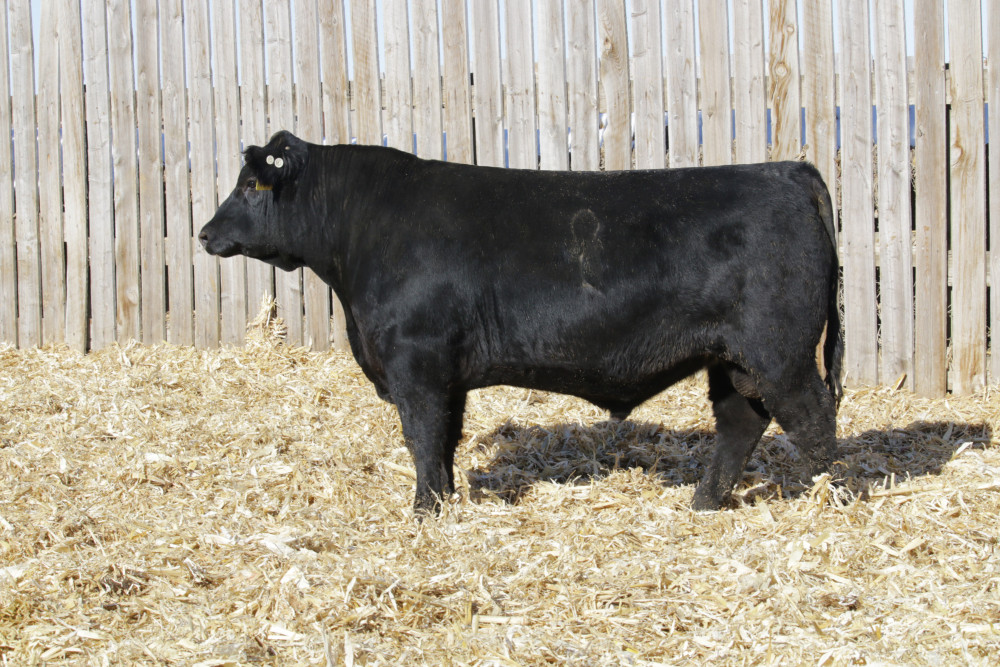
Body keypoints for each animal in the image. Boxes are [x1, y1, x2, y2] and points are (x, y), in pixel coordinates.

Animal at [200, 130, 843, 516]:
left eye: (250, 186)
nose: (205, 233)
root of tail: (787, 170)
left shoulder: (416, 360)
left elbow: (422, 435)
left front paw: (425, 510)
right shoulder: (445, 372)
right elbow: (445, 439)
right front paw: (444, 501)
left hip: (780, 352)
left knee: (813, 417)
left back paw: (825, 498)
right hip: (732, 357)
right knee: (741, 421)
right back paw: (706, 502)